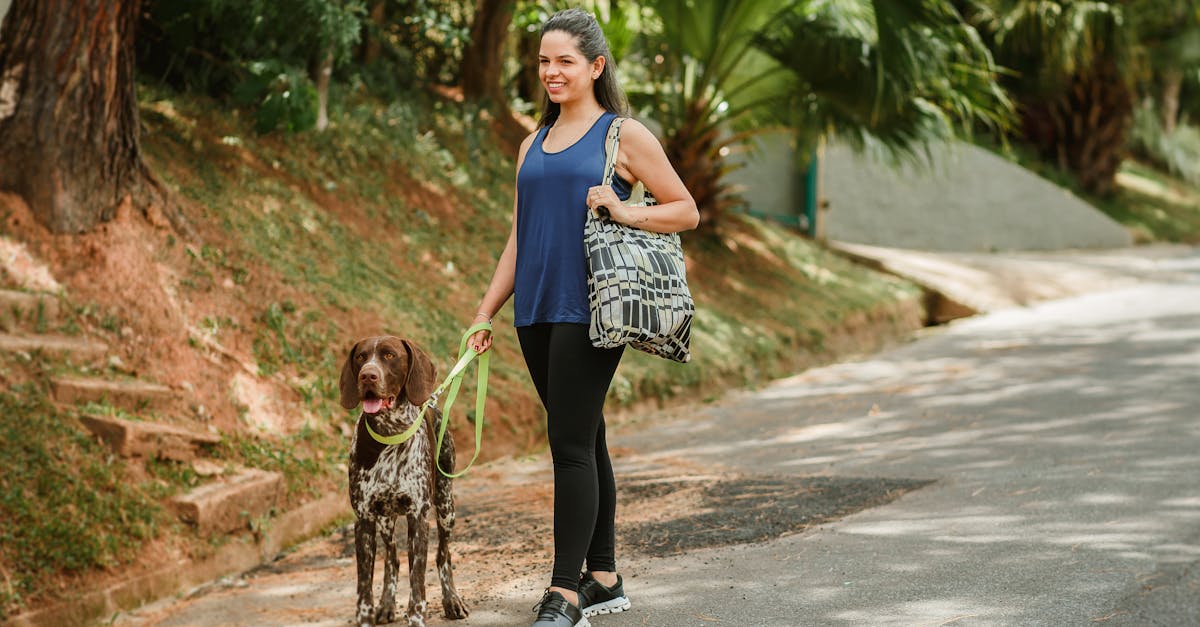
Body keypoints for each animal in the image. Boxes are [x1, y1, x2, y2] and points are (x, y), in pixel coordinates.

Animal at [340, 336, 470, 624]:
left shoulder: (418, 517)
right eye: (361, 357)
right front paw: (367, 616)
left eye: (389, 355)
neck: (390, 434)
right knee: (392, 559)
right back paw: (387, 604)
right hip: (385, 521)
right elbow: (364, 589)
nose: (368, 375)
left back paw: (452, 600)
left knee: (443, 555)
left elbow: (418, 584)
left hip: (446, 507)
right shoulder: (363, 520)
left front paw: (417, 618)